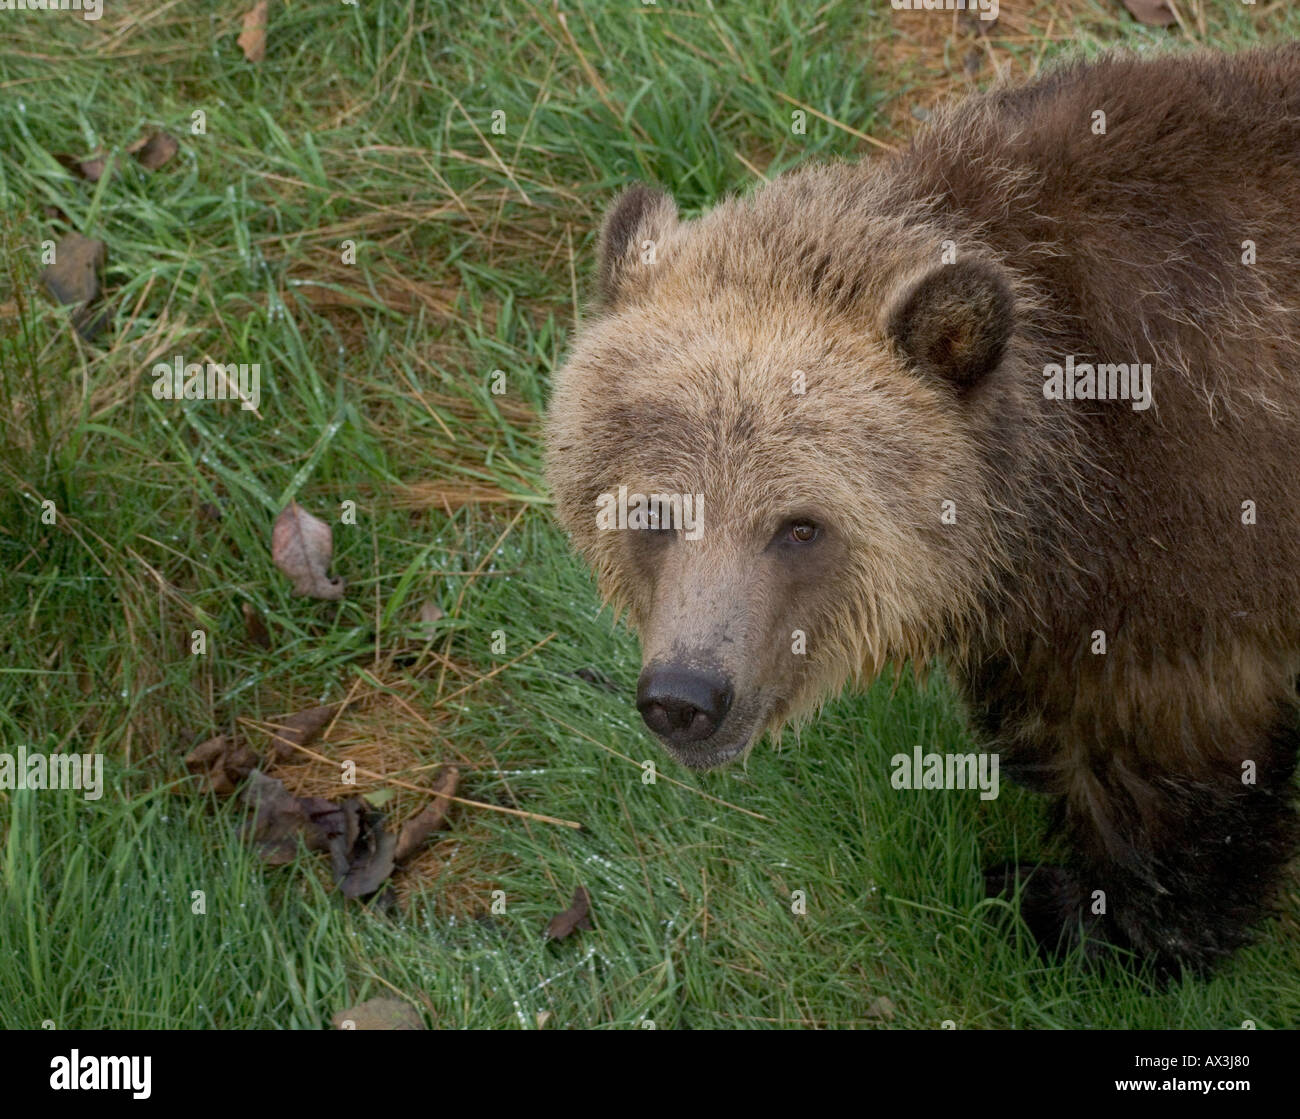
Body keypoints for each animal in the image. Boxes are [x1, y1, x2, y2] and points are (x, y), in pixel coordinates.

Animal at [544, 45, 1300, 974]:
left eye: (800, 525)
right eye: (653, 511)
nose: (685, 695)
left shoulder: (1197, 540)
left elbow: (1168, 766)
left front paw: (1074, 908)